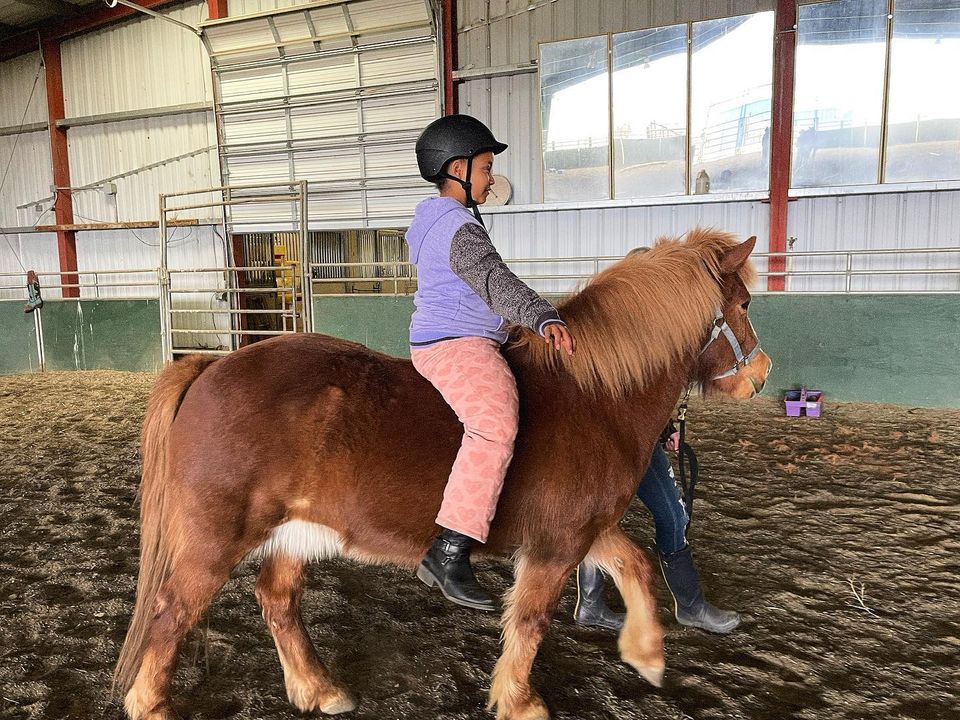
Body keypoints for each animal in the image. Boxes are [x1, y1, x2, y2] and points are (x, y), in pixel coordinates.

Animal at [114, 228, 772, 720]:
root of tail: (211, 365)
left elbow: (633, 561)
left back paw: (319, 690)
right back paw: (154, 704)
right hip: (215, 537)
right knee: (171, 611)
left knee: (276, 601)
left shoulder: (576, 532)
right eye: (743, 305)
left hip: (293, 533)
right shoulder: (556, 545)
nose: (761, 374)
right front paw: (520, 700)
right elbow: (530, 621)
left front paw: (647, 654)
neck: (593, 395)